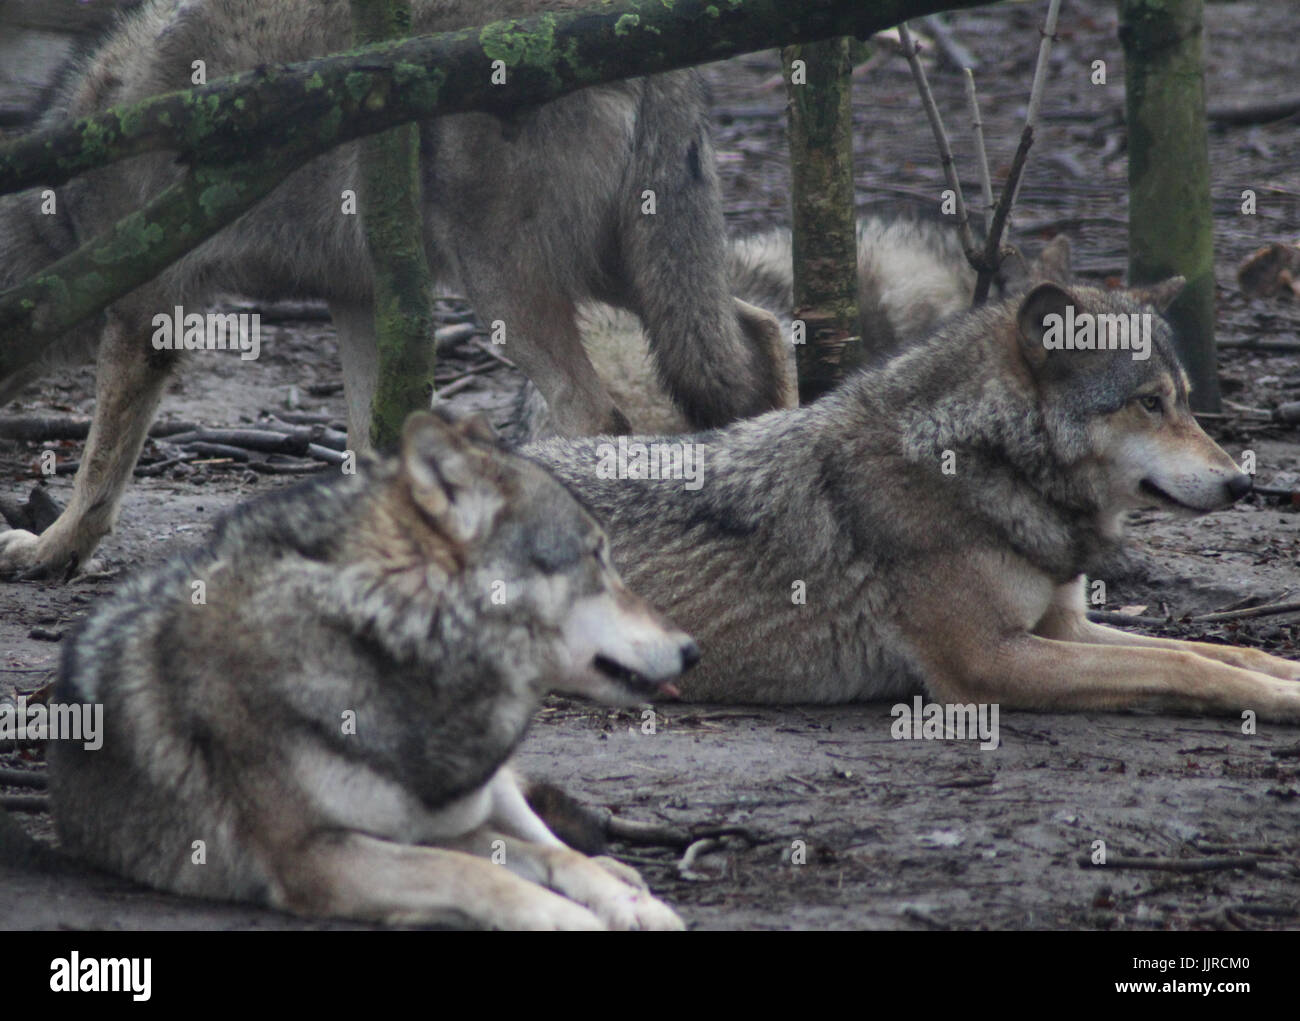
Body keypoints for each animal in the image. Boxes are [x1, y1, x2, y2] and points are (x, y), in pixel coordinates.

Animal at [0, 0, 786, 578]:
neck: (56, 222)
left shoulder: (146, 315)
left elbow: (99, 468)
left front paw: (50, 550)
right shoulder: (361, 298)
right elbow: (364, 442)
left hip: (503, 284)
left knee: (594, 412)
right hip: (621, 277)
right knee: (761, 327)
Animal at [47, 411, 697, 929]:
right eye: (595, 557)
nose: (692, 650)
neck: (382, 644)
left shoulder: (430, 828)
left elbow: (534, 856)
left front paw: (612, 902)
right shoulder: (312, 855)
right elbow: (469, 872)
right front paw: (562, 917)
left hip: (492, 788)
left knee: (552, 836)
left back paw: (629, 889)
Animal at [526, 278, 1300, 721]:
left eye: (1188, 403)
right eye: (1149, 403)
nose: (1243, 483)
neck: (983, 465)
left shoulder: (1062, 628)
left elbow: (1218, 649)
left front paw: (1287, 675)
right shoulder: (989, 662)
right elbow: (1184, 663)